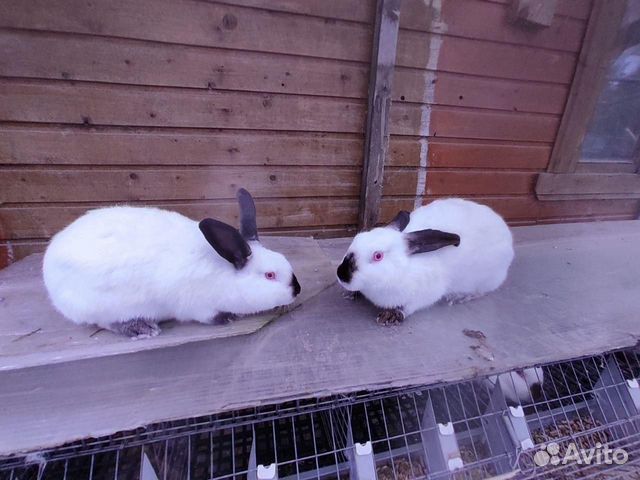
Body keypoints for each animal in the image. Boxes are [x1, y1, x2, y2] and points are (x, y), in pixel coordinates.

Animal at [42, 188, 301, 338]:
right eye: (270, 275)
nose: (297, 289)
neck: (224, 273)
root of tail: (50, 260)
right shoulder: (197, 305)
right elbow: (208, 315)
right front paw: (227, 317)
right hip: (102, 306)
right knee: (105, 322)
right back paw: (141, 328)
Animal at [336, 198, 514, 325]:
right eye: (357, 238)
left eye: (378, 256)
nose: (341, 274)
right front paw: (350, 293)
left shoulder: (425, 294)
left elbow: (409, 306)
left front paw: (391, 315)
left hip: (488, 279)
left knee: (481, 292)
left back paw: (460, 298)